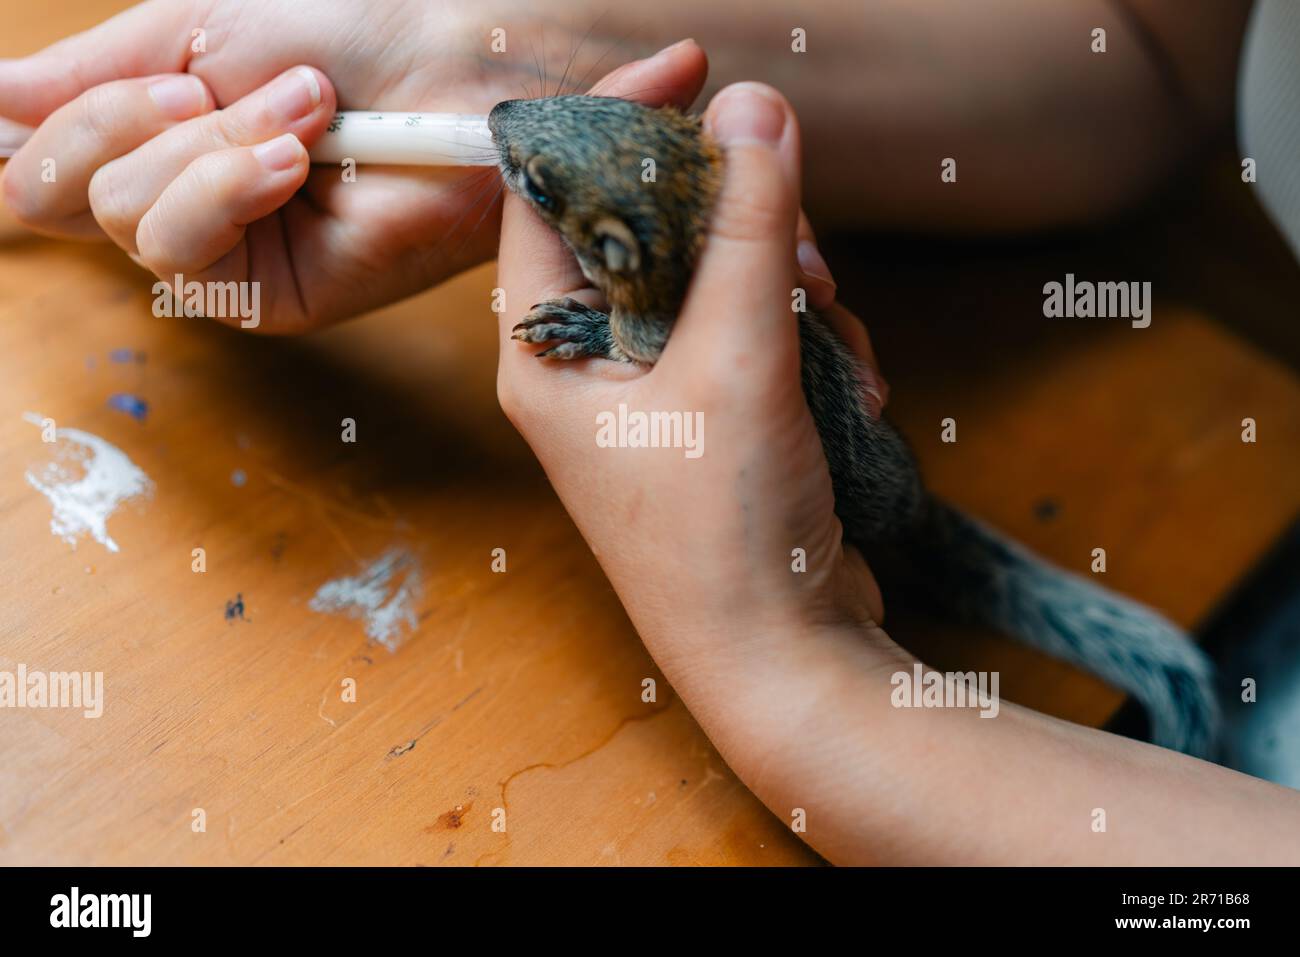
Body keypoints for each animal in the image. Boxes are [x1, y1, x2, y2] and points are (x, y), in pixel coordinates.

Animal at [488, 94, 1219, 757]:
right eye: (603, 99)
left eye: (543, 187)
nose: (497, 112)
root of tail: (911, 506)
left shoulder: (654, 333)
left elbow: (625, 341)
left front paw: (581, 328)